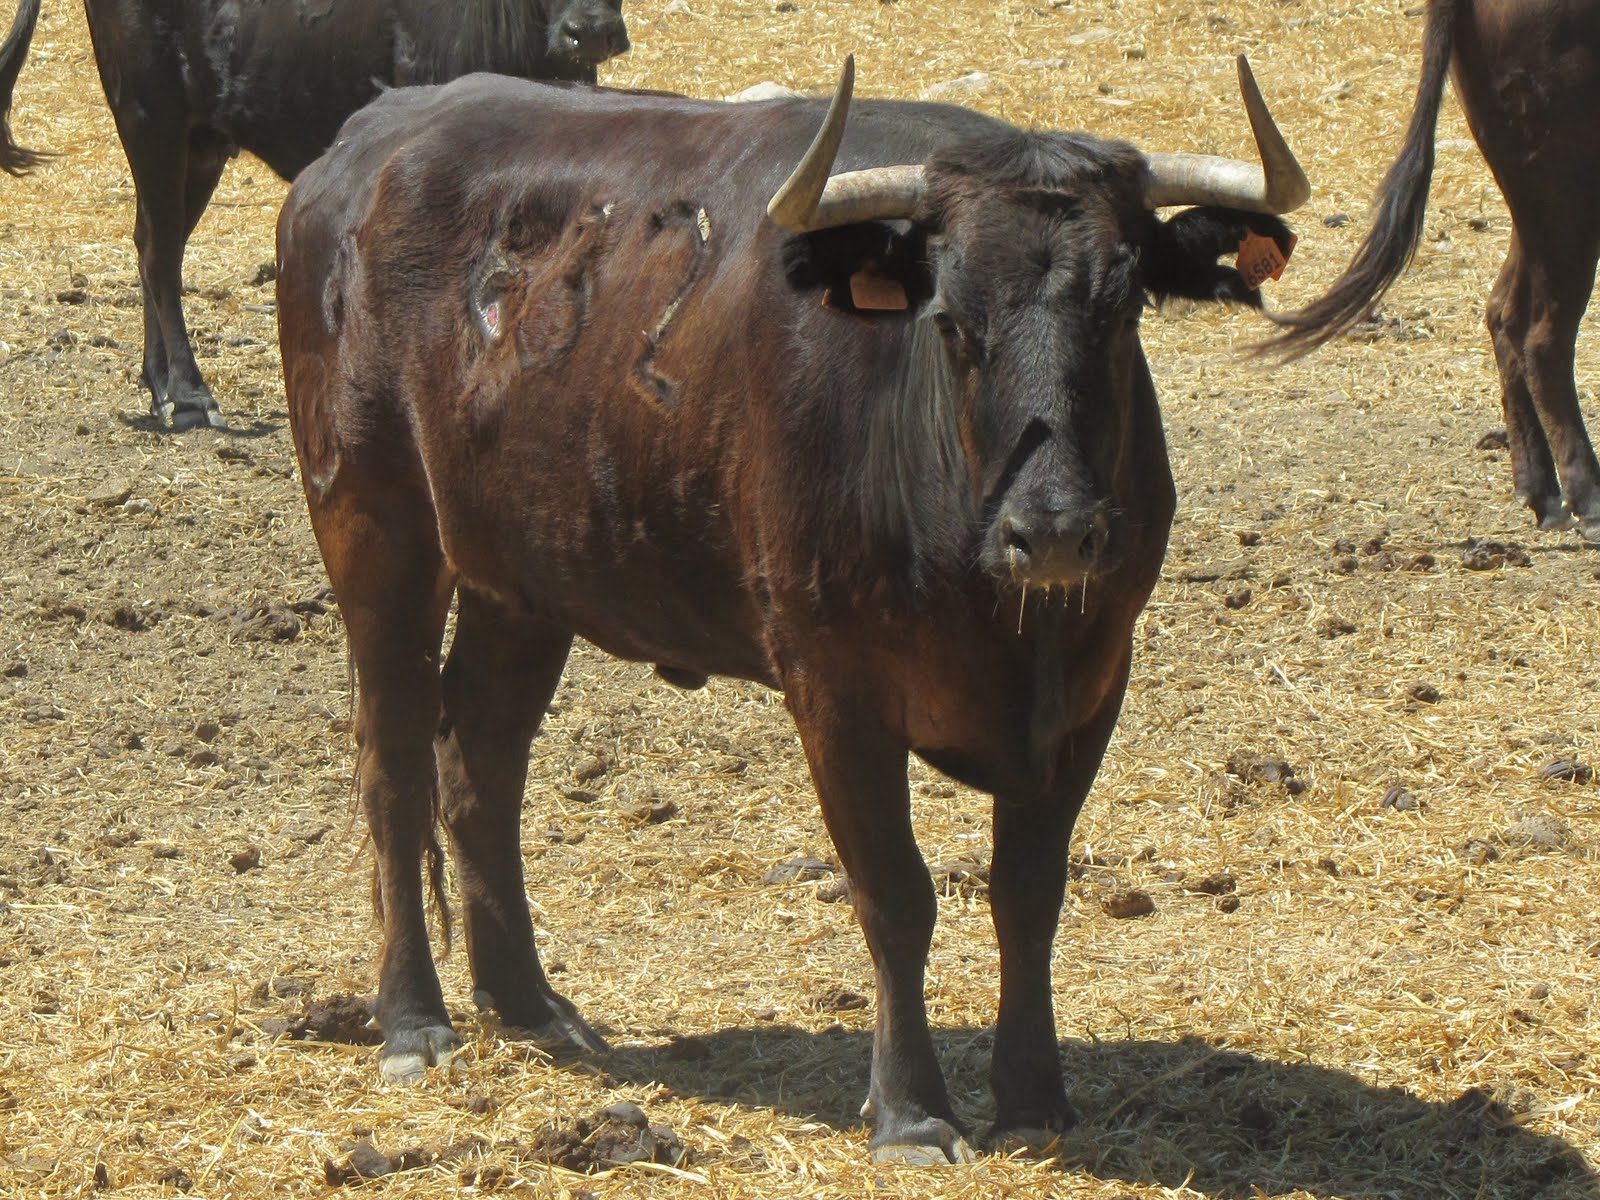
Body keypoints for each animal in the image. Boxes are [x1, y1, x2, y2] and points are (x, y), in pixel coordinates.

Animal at [0, 0, 629, 430]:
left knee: (157, 245)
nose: (591, 29)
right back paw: (188, 396)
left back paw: (159, 387)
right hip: (151, 121)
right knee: (158, 254)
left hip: (200, 145)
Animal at [275, 58, 1307, 1162]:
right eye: (950, 321)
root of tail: (363, 144)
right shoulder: (834, 689)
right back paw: (413, 1023)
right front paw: (911, 1111)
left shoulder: (1090, 687)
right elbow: (894, 895)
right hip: (375, 530)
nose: (1057, 531)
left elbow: (1028, 893)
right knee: (393, 766)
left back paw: (529, 1007)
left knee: (480, 764)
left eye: (1122, 313)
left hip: (522, 578)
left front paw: (1034, 1096)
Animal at [1269, 0, 1600, 543]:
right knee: (1542, 337)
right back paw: (1586, 498)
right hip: (1563, 189)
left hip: (1534, 198)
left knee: (1504, 312)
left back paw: (1538, 491)